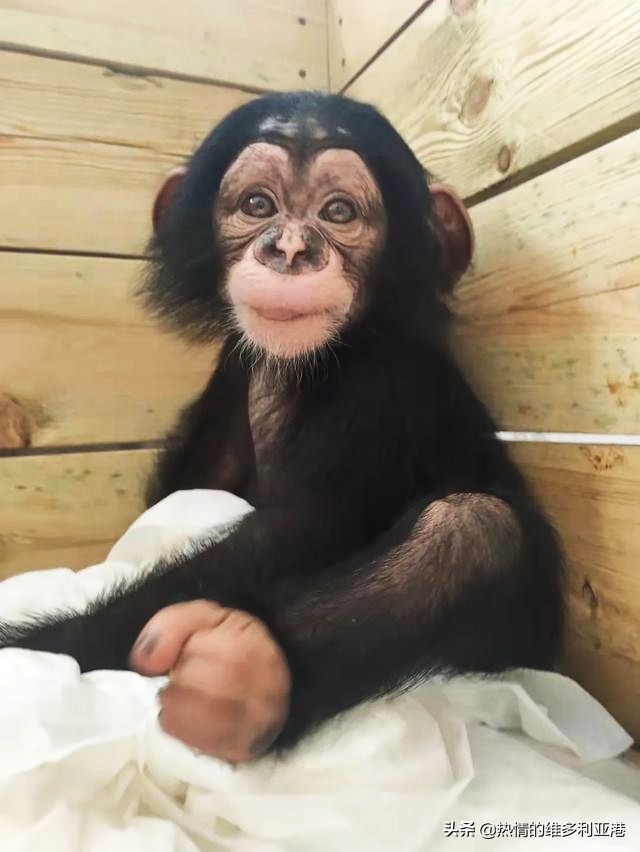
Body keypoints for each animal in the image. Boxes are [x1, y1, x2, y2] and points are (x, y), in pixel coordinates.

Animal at [0, 92, 564, 764]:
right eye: (257, 205)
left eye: (338, 211)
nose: (291, 249)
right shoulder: (231, 366)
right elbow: (193, 494)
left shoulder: (378, 380)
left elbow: (294, 532)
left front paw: (36, 648)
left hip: (526, 643)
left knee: (475, 531)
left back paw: (243, 675)